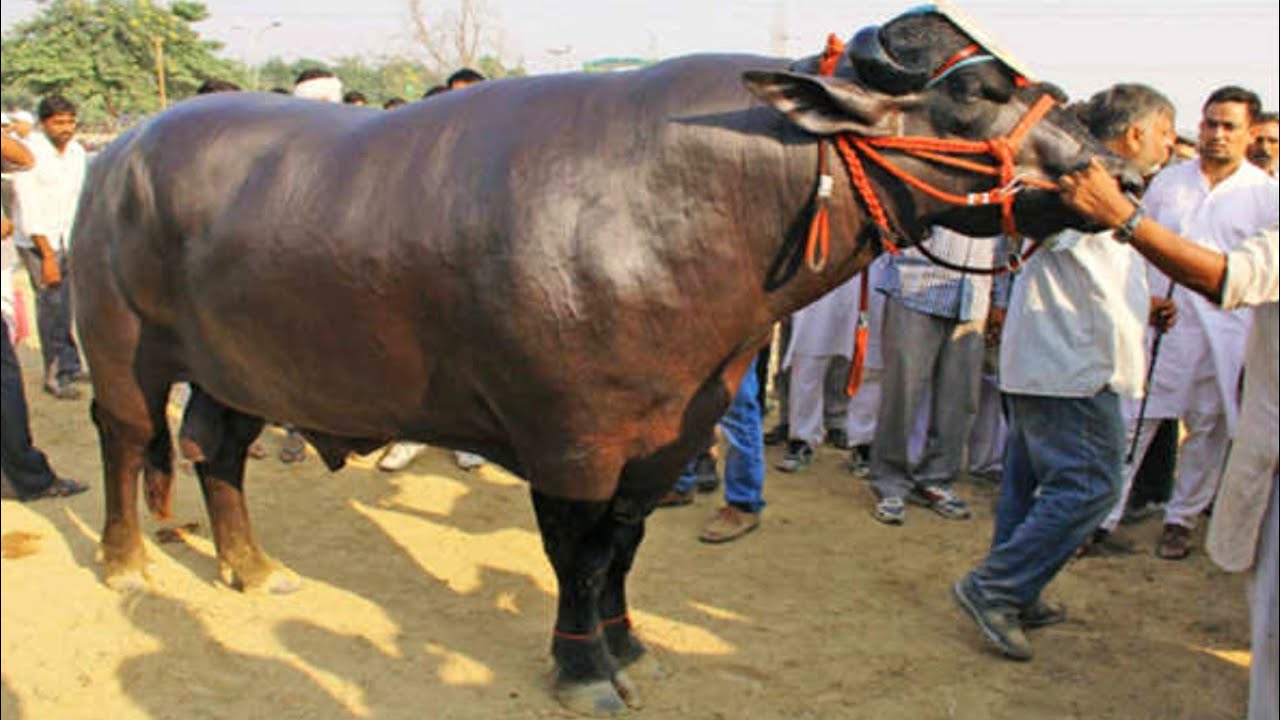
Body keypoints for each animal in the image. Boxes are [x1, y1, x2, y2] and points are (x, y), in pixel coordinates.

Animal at [71, 7, 1139, 716]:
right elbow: (576, 556)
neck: (681, 214)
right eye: (975, 93)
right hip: (119, 343)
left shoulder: (671, 438)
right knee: (126, 439)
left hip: (243, 365)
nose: (1120, 176)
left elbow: (621, 550)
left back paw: (252, 569)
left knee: (216, 449)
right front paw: (583, 667)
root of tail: (122, 148)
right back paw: (127, 565)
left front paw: (630, 648)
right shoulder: (570, 442)